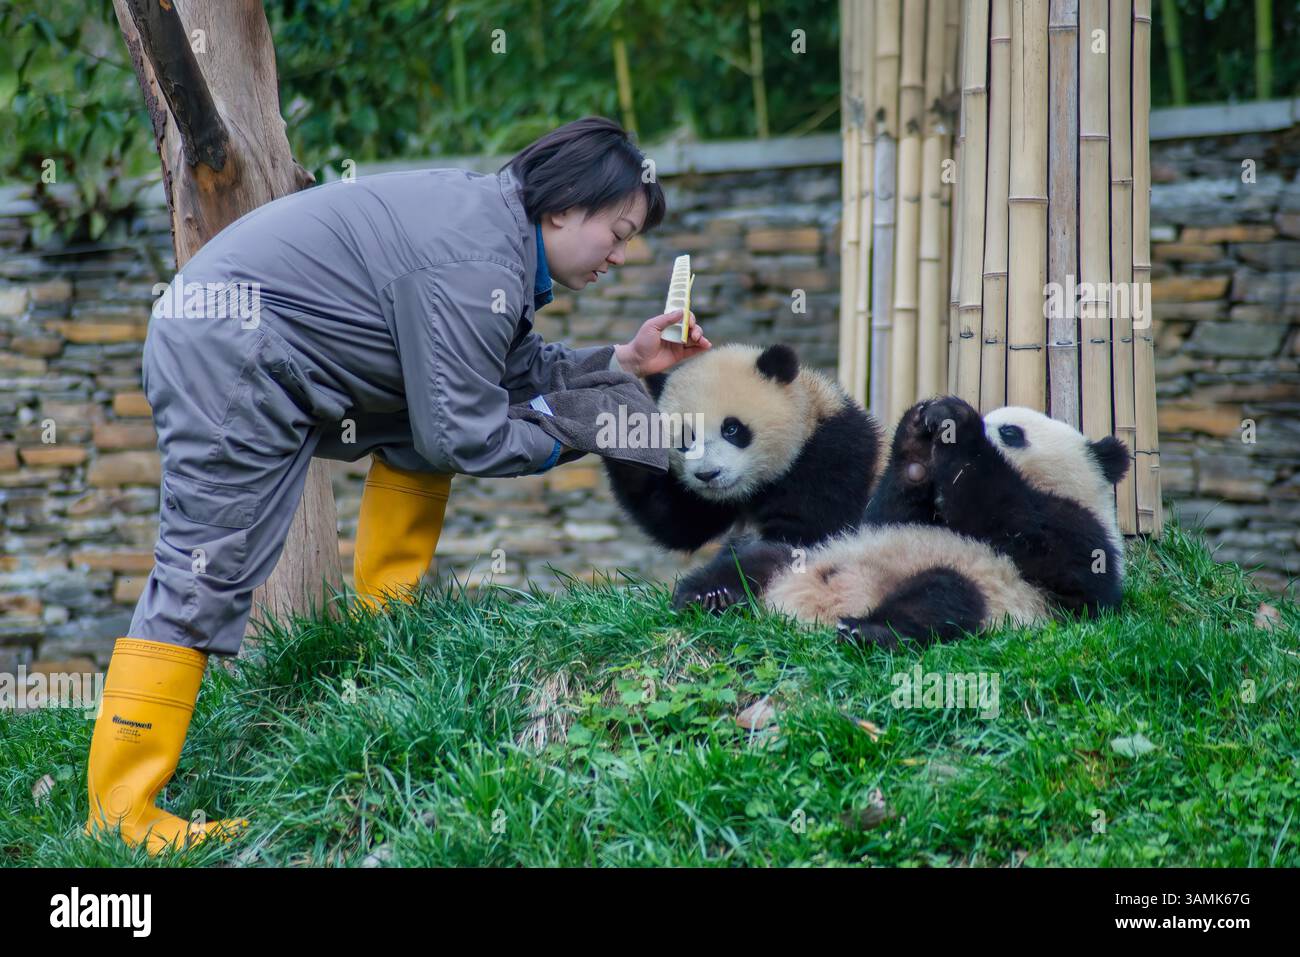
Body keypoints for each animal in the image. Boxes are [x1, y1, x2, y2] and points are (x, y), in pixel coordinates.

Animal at [602, 342, 882, 554]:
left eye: (732, 429)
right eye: (685, 438)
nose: (707, 475)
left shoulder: (833, 460)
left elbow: (799, 536)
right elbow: (679, 520)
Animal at [671, 394, 1131, 649]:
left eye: (1011, 432)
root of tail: (802, 610)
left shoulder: (1078, 539)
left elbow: (1028, 529)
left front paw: (956, 423)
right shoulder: (897, 517)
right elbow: (885, 515)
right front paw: (917, 431)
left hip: (996, 595)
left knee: (943, 597)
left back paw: (871, 632)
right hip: (803, 558)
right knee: (757, 556)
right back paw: (707, 596)